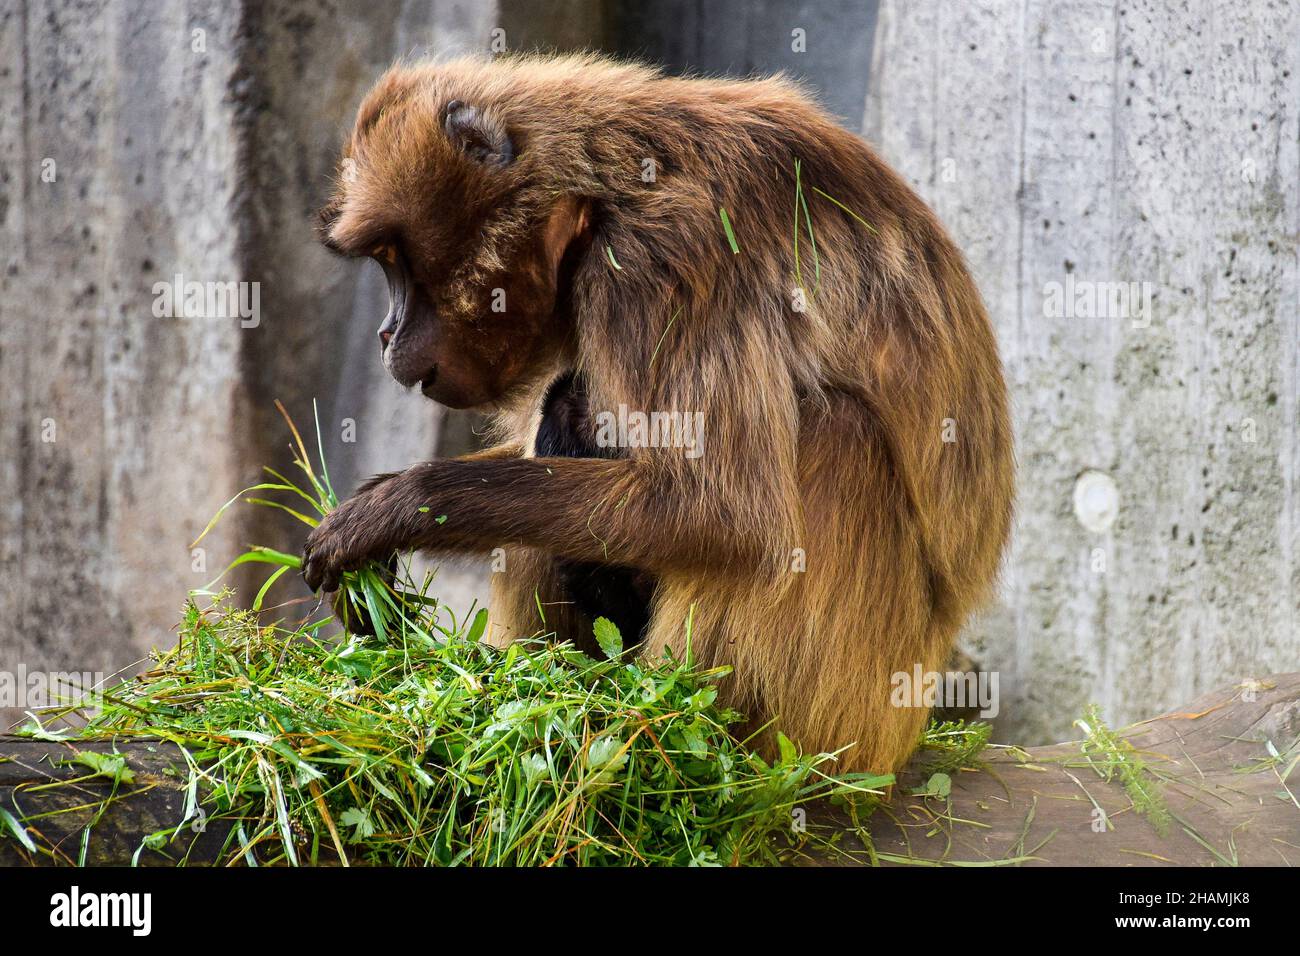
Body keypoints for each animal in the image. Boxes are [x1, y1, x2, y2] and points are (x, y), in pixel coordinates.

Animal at [304, 54, 1015, 773]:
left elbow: (723, 512)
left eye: (399, 265)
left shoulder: (661, 259)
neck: (599, 196)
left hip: (867, 707)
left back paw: (678, 735)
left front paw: (397, 510)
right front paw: (376, 514)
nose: (386, 335)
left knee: (830, 438)